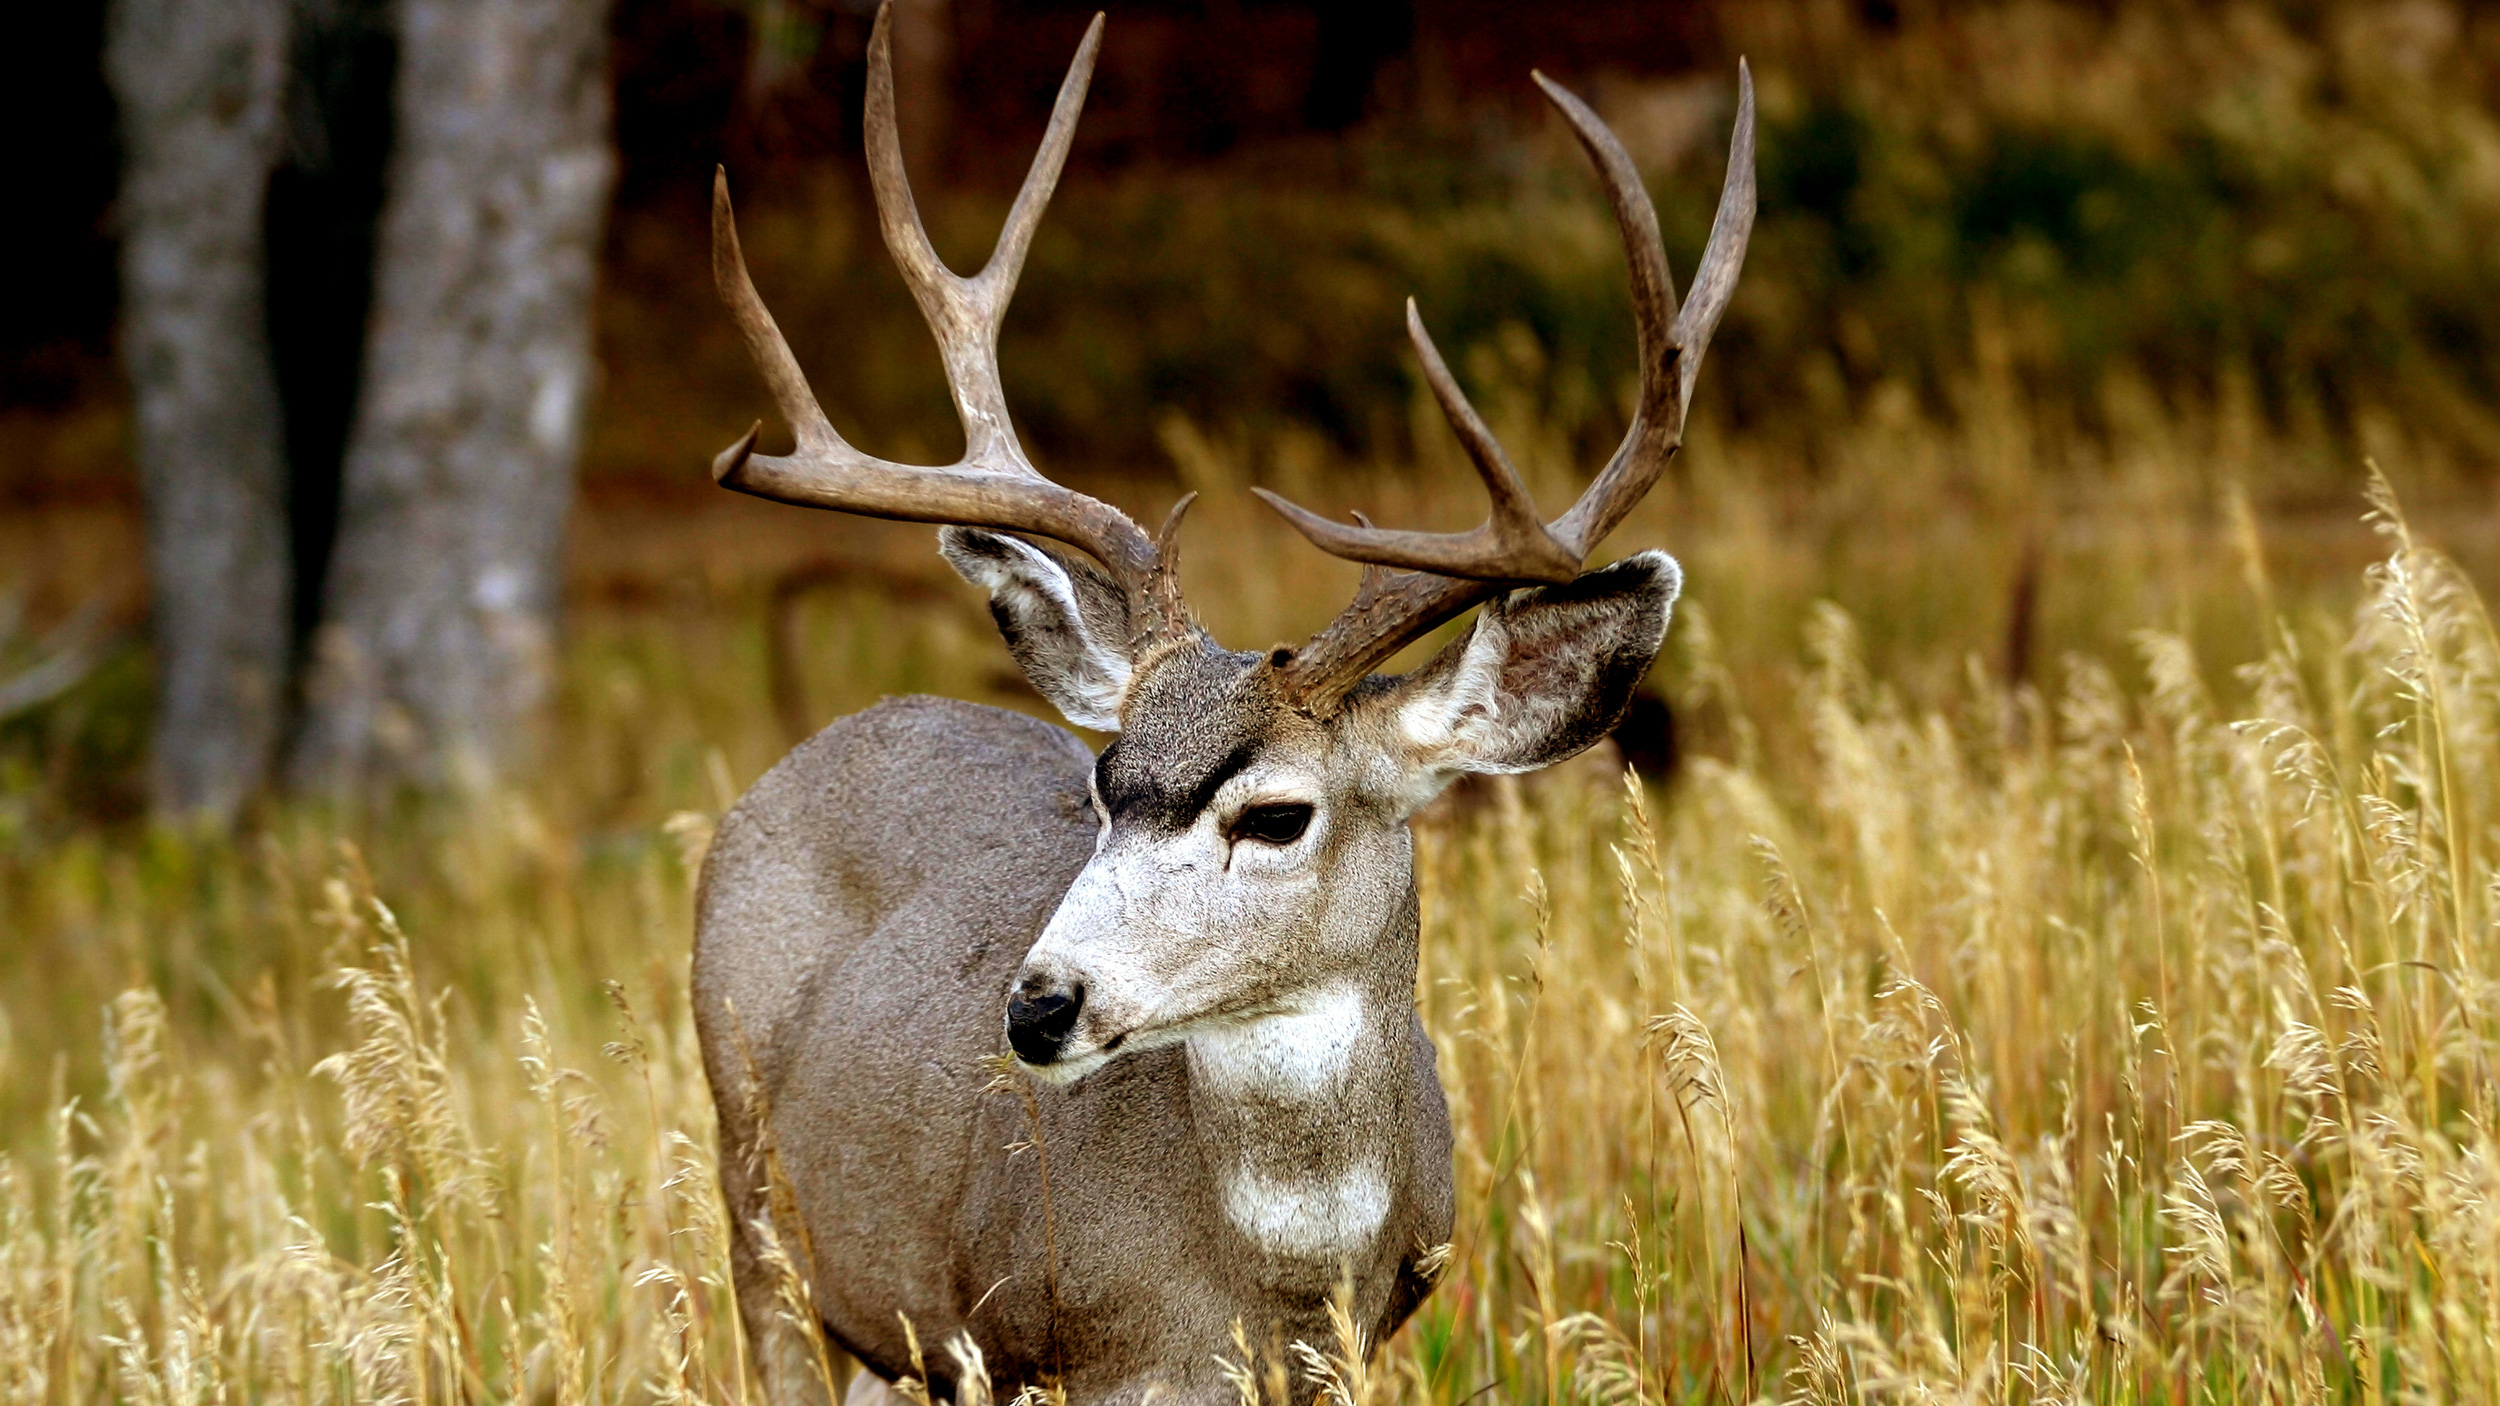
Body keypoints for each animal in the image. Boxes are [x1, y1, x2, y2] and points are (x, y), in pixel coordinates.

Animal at [690, 8, 1754, 1403]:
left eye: (1275, 815)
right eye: (1100, 785)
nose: (1037, 1005)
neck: (1264, 1285)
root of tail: (821, 742)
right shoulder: (1054, 1347)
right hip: (762, 1209)